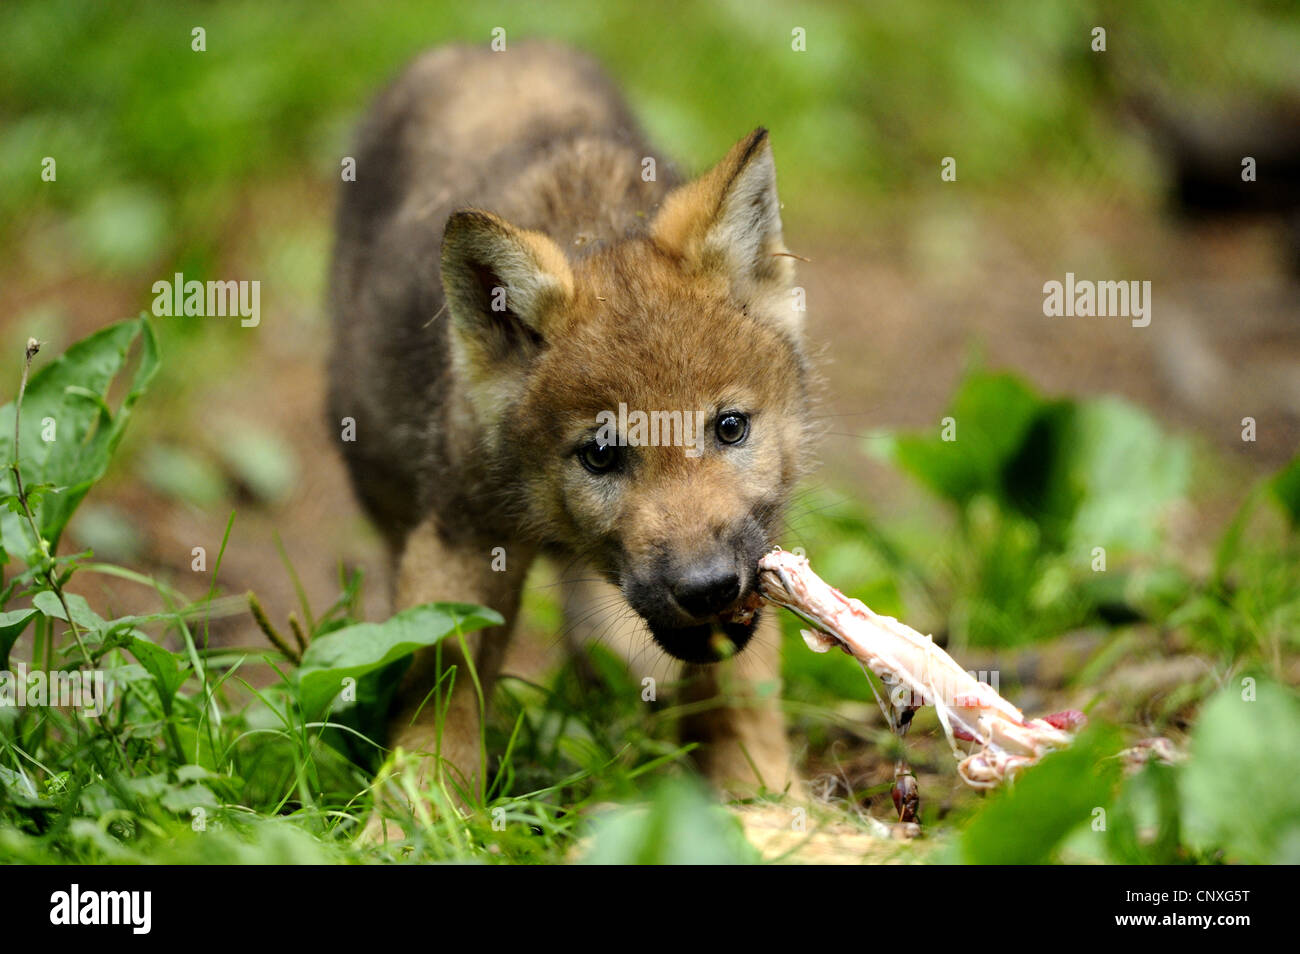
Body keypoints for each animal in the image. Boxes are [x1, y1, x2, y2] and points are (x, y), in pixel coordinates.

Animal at [328, 41, 813, 803]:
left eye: (730, 428)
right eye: (600, 456)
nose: (706, 587)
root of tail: (483, 49)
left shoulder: (762, 546)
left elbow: (743, 687)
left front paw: (762, 796)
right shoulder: (462, 539)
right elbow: (442, 691)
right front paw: (418, 811)